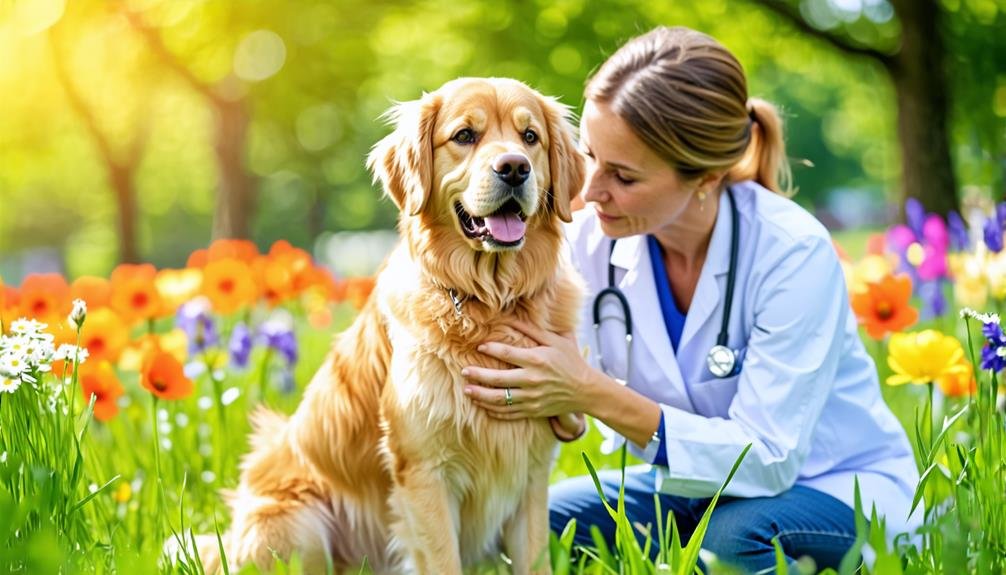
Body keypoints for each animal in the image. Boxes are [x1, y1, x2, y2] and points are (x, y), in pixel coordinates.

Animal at [185, 77, 587, 575]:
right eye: (464, 136)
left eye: (530, 137)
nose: (514, 168)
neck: (489, 304)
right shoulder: (425, 472)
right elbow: (442, 560)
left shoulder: (530, 474)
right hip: (300, 524)